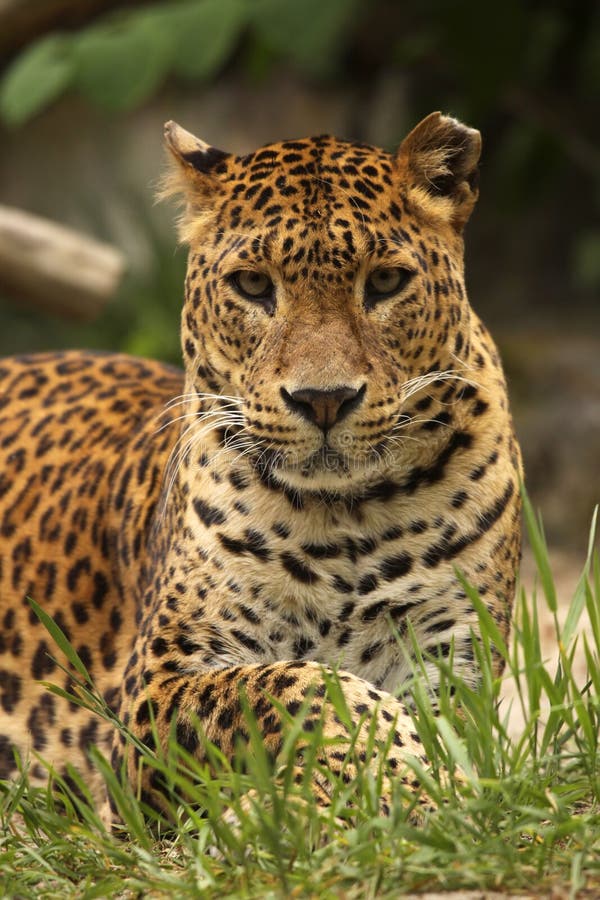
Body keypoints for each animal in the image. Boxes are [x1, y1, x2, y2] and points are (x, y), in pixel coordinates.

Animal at [0, 112, 522, 820]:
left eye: (386, 283)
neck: (345, 523)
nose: (323, 399)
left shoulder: (455, 659)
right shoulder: (152, 693)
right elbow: (297, 687)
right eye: (252, 286)